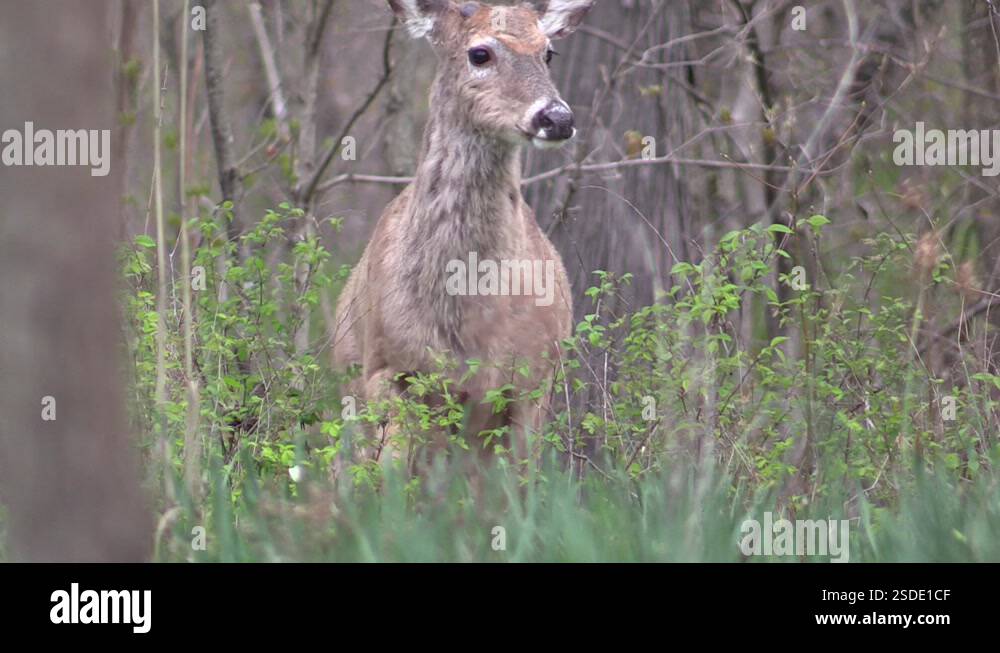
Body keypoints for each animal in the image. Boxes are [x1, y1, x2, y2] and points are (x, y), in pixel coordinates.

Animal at [332, 0, 594, 469]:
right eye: (479, 53)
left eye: (548, 52)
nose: (557, 118)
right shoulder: (386, 367)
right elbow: (389, 473)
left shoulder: (534, 379)